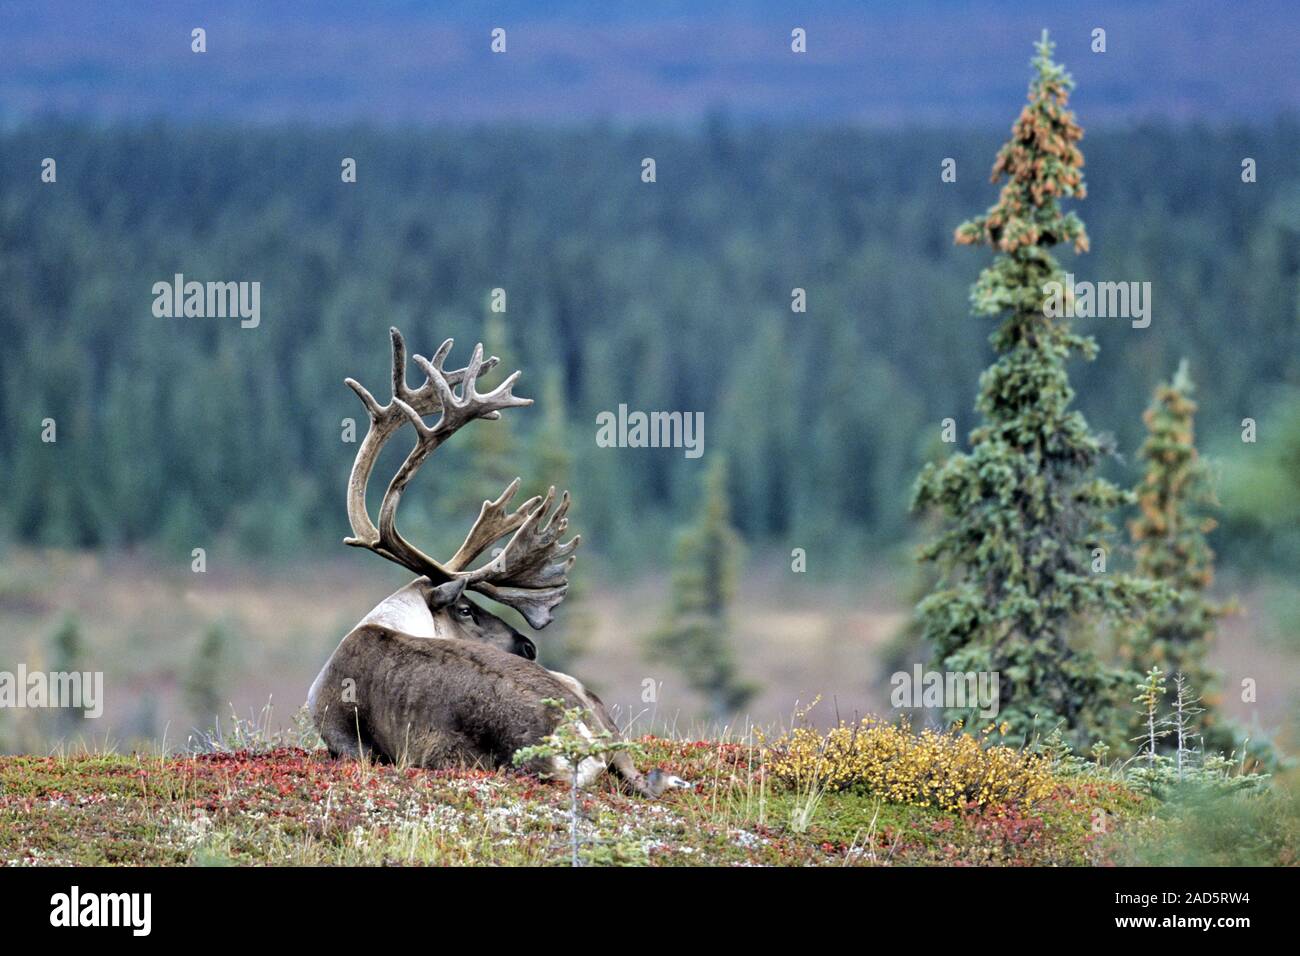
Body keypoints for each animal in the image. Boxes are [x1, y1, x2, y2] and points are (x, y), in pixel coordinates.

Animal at [308, 328, 689, 799]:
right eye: (466, 610)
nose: (528, 647)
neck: (387, 621)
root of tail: (585, 737)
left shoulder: (344, 740)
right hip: (588, 699)